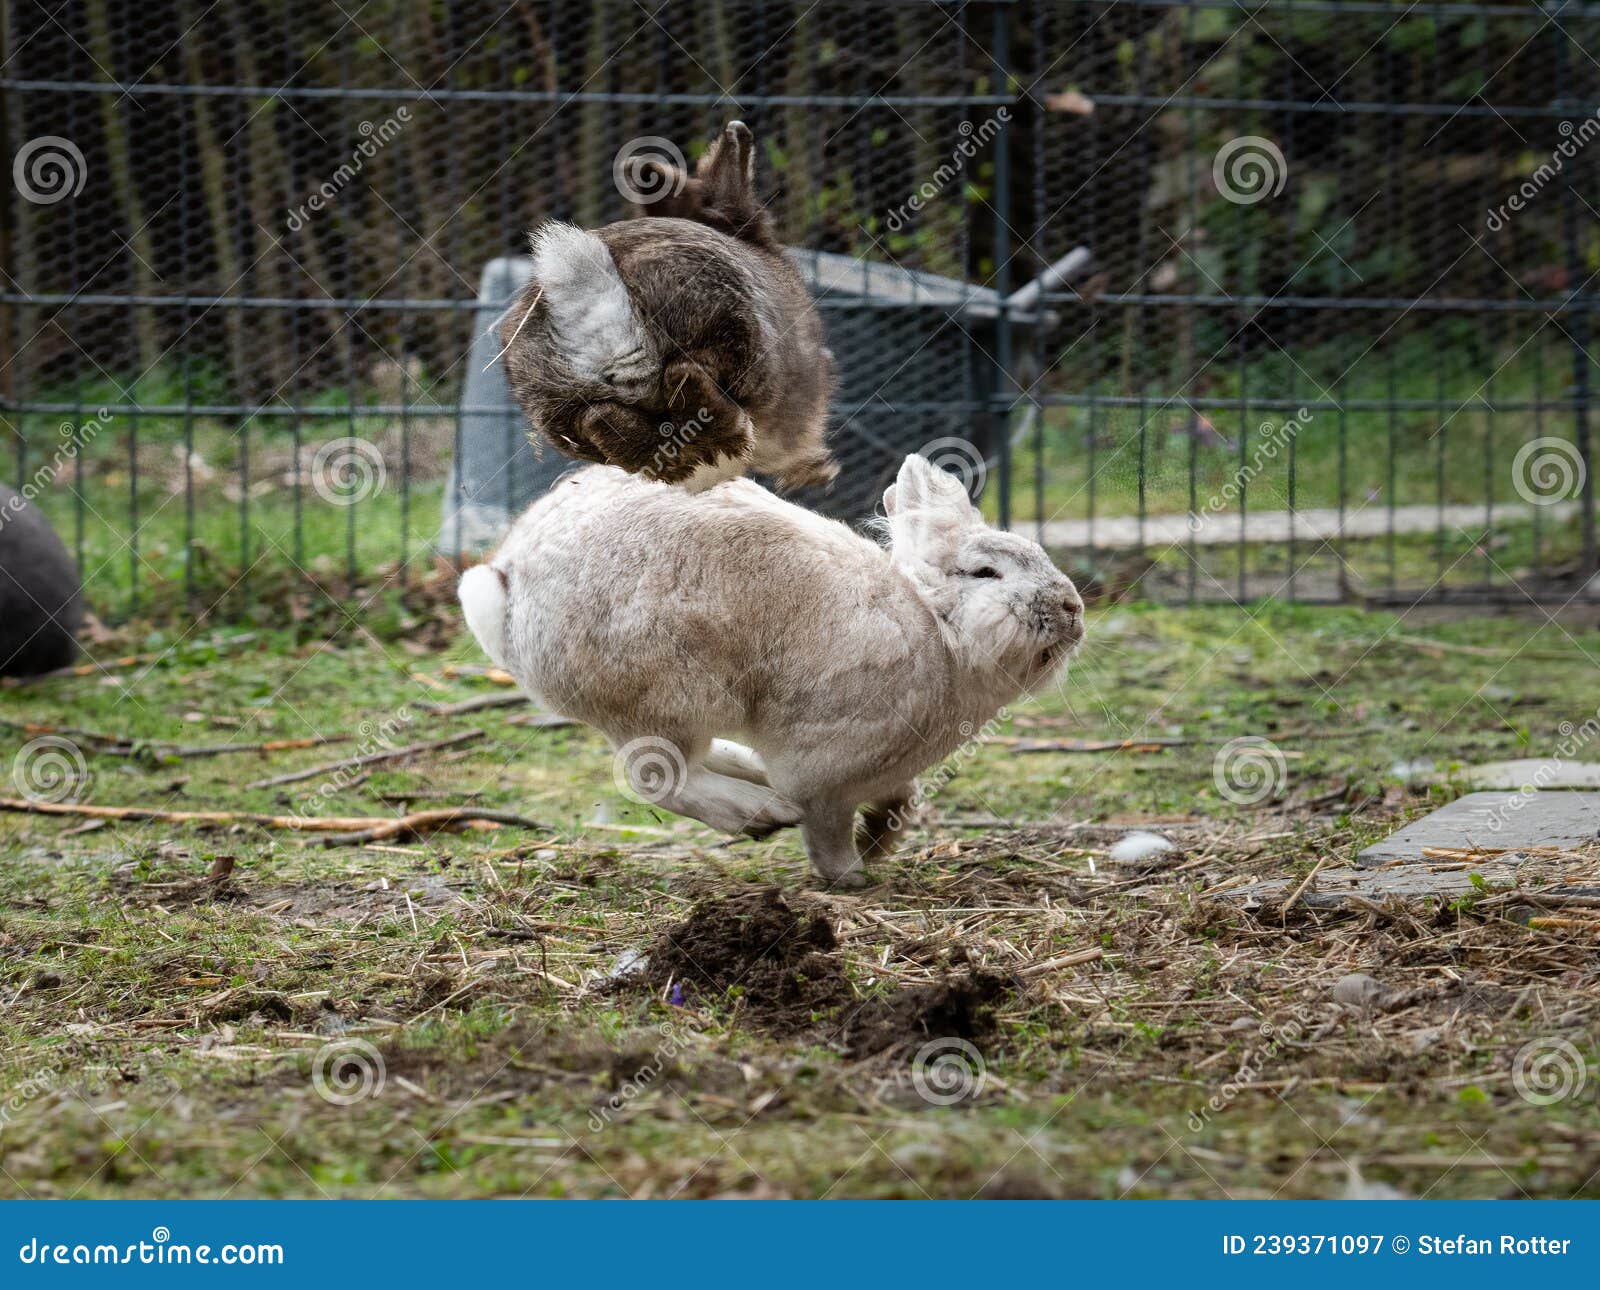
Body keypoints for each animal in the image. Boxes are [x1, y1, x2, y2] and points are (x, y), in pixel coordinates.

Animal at [458, 454, 1084, 886]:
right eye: (985, 573)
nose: (1073, 608)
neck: (939, 629)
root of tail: (503, 585)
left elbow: (902, 800)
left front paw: (880, 843)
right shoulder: (826, 774)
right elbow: (825, 827)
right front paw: (851, 876)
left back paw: (754, 780)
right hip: (662, 698)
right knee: (656, 777)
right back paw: (760, 813)